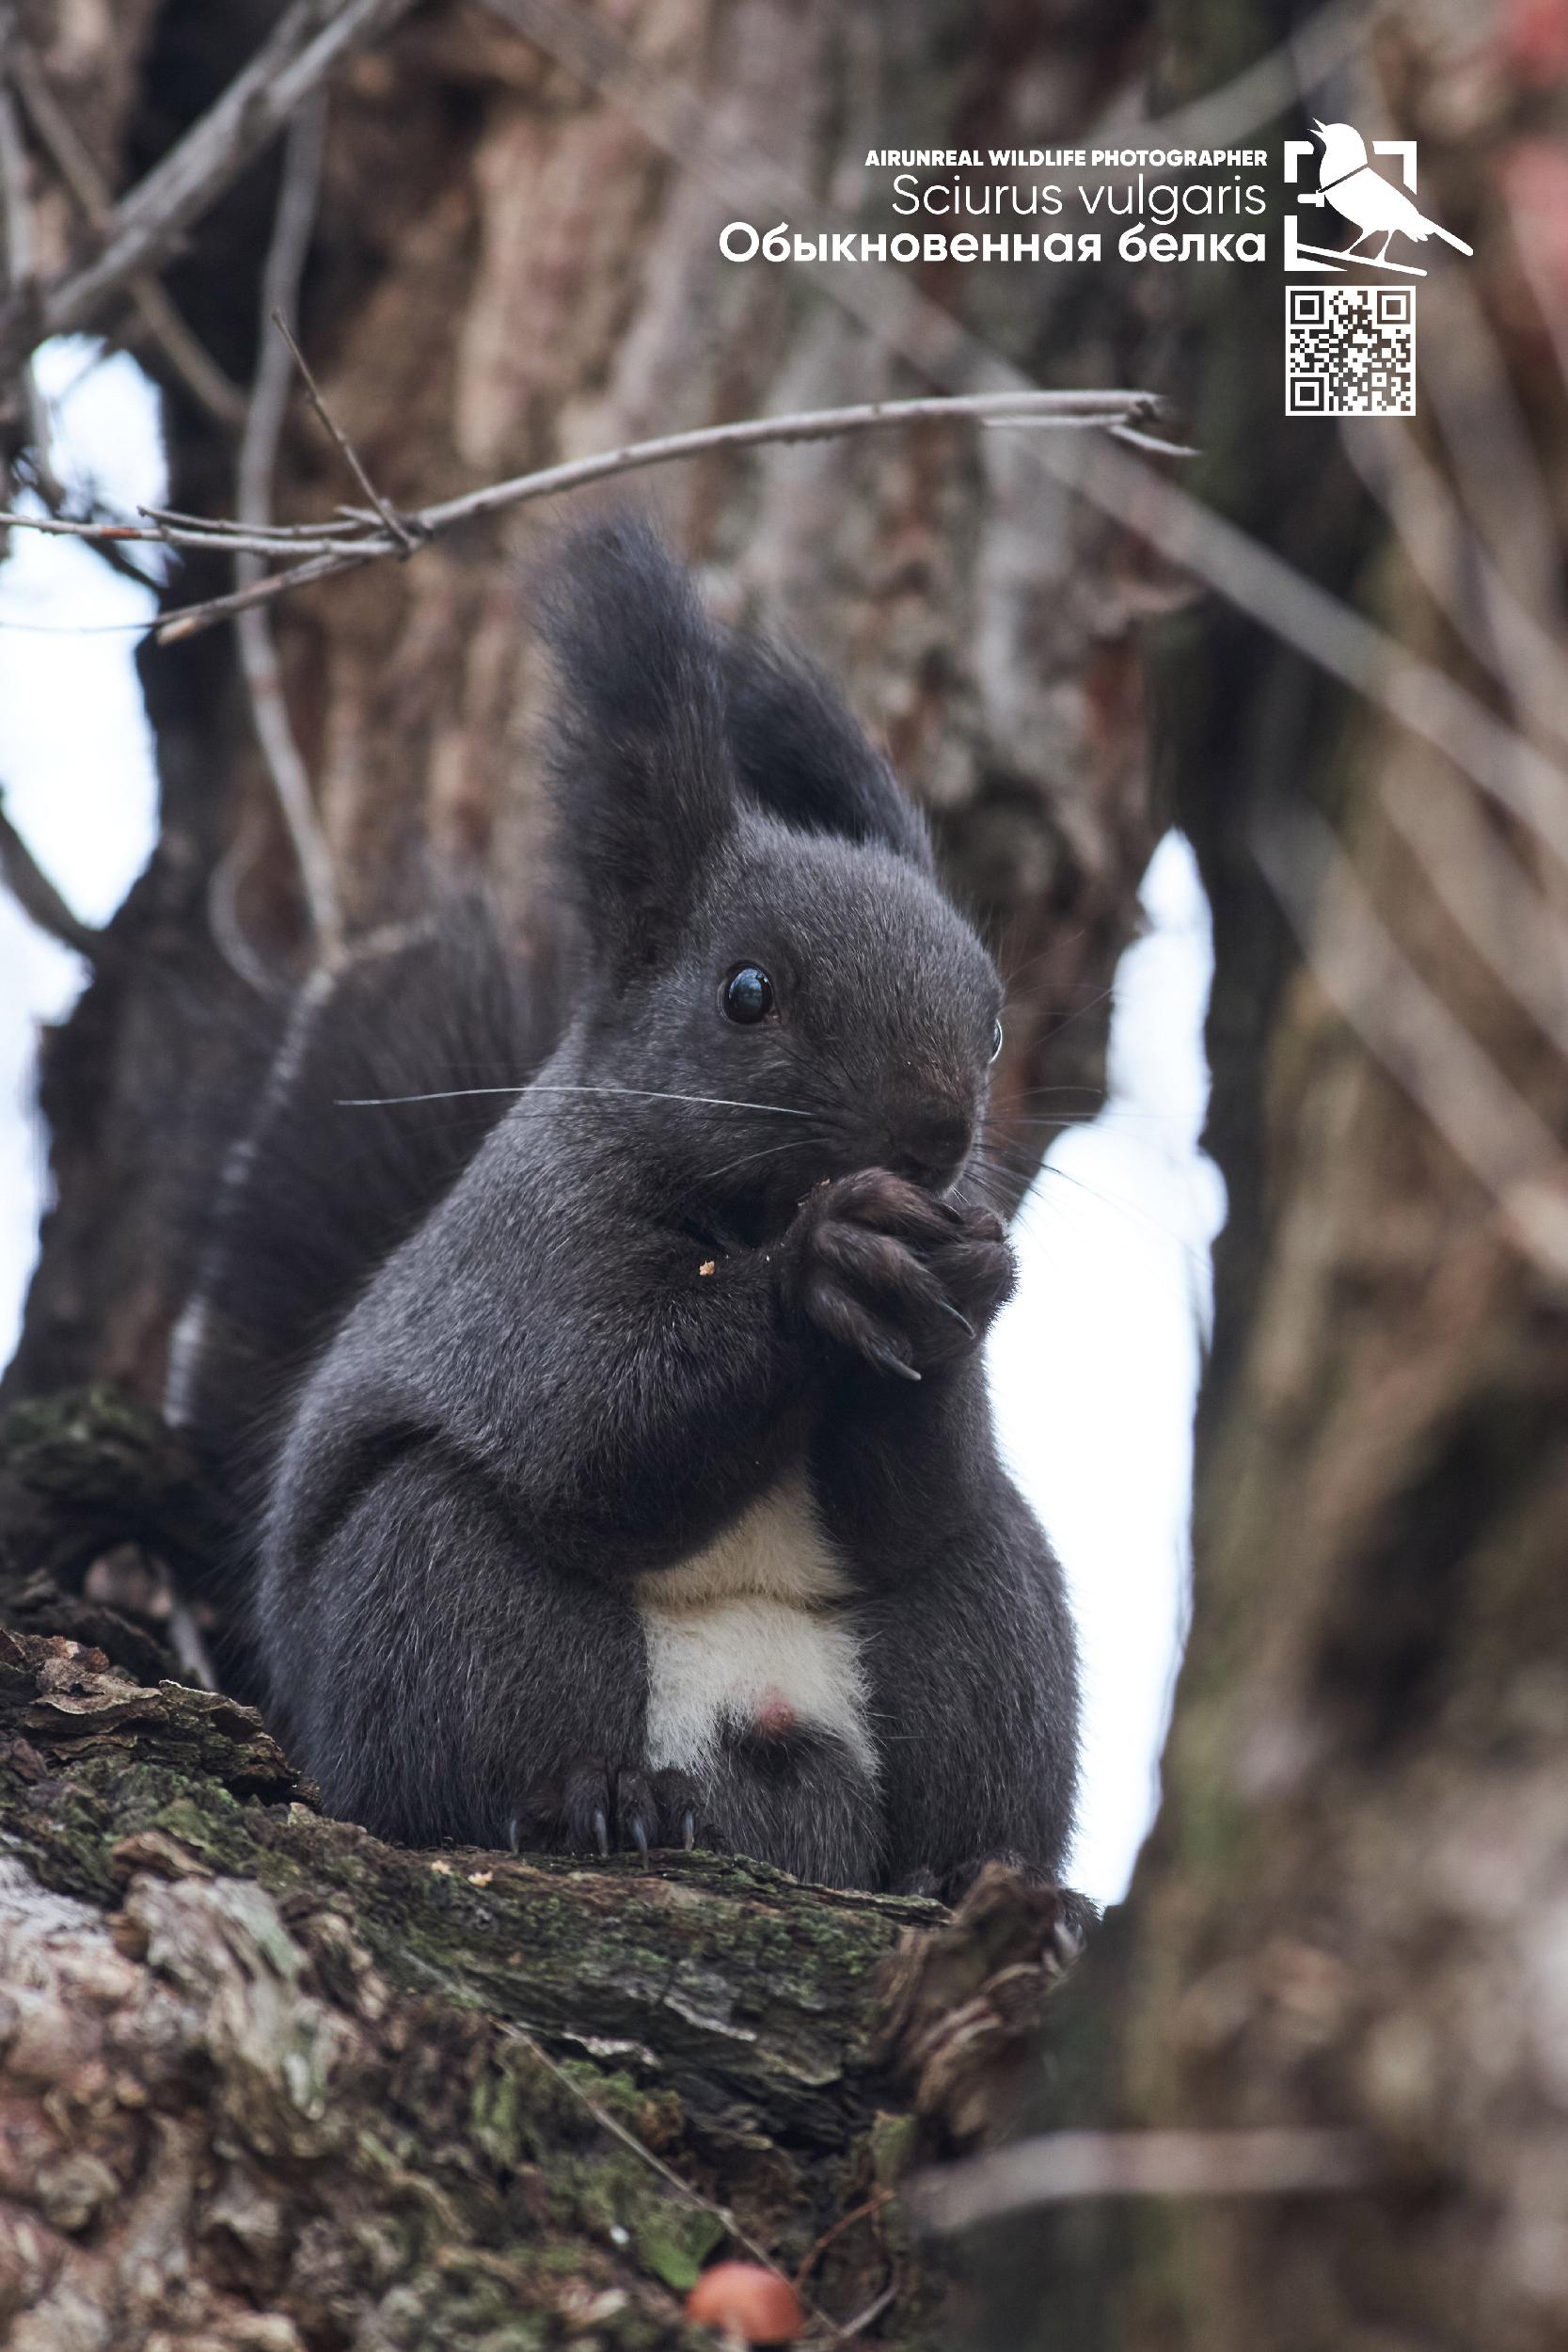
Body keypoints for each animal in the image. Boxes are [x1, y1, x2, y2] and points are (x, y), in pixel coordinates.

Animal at [168, 519, 1081, 1910]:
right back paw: (594, 1803)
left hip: (988, 1621)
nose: (934, 1139)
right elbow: (598, 1429)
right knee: (458, 1739)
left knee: (961, 1600)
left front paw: (964, 1281)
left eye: (990, 1022)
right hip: (437, 1588)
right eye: (746, 992)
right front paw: (821, 1269)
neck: (738, 1214)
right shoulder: (537, 1261)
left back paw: (971, 1877)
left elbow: (913, 1493)